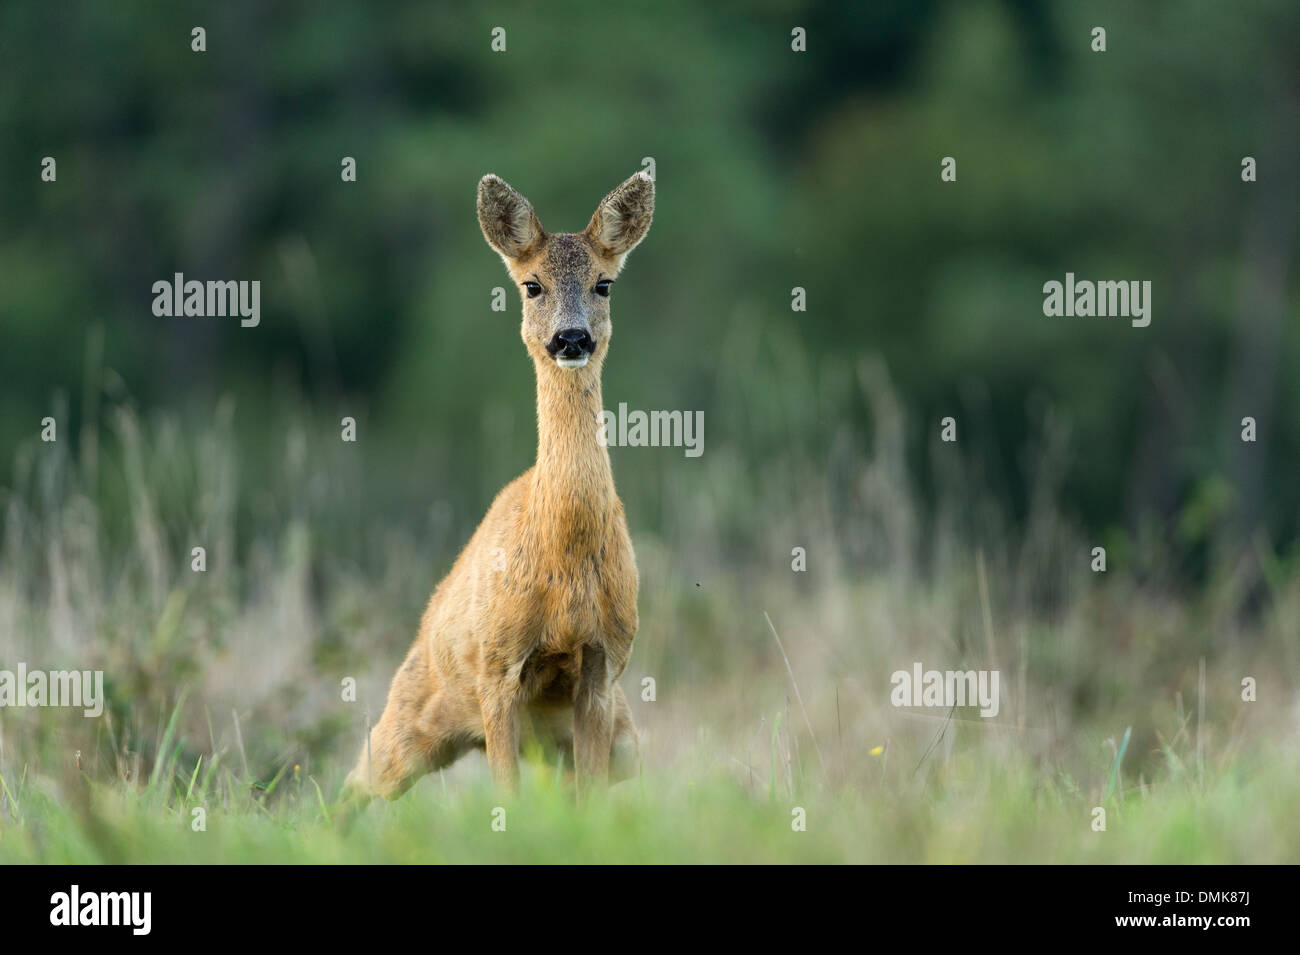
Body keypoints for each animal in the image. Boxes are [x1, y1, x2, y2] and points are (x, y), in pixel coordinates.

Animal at [340, 171, 653, 811]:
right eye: (531, 285)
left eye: (604, 283)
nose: (571, 338)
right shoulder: (497, 666)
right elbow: (506, 793)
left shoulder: (604, 664)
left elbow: (586, 800)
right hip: (413, 716)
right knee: (350, 783)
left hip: (618, 740)